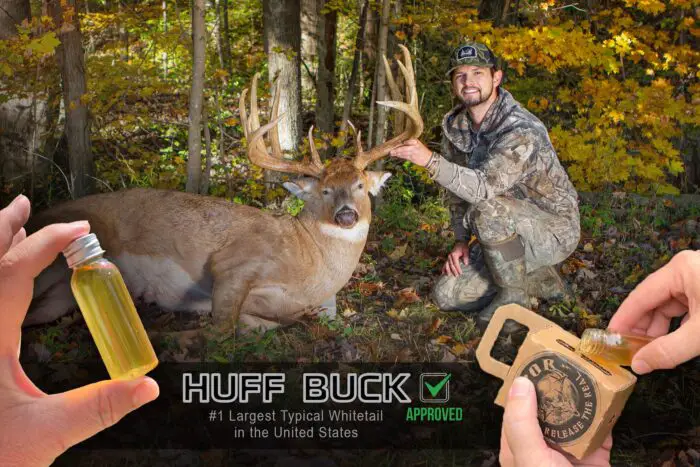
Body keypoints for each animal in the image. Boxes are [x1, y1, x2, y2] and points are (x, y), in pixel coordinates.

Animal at [24, 45, 423, 334]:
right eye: (324, 191)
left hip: (62, 294)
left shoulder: (325, 302)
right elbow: (229, 325)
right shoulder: (232, 264)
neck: (310, 265)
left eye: (359, 185)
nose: (346, 215)